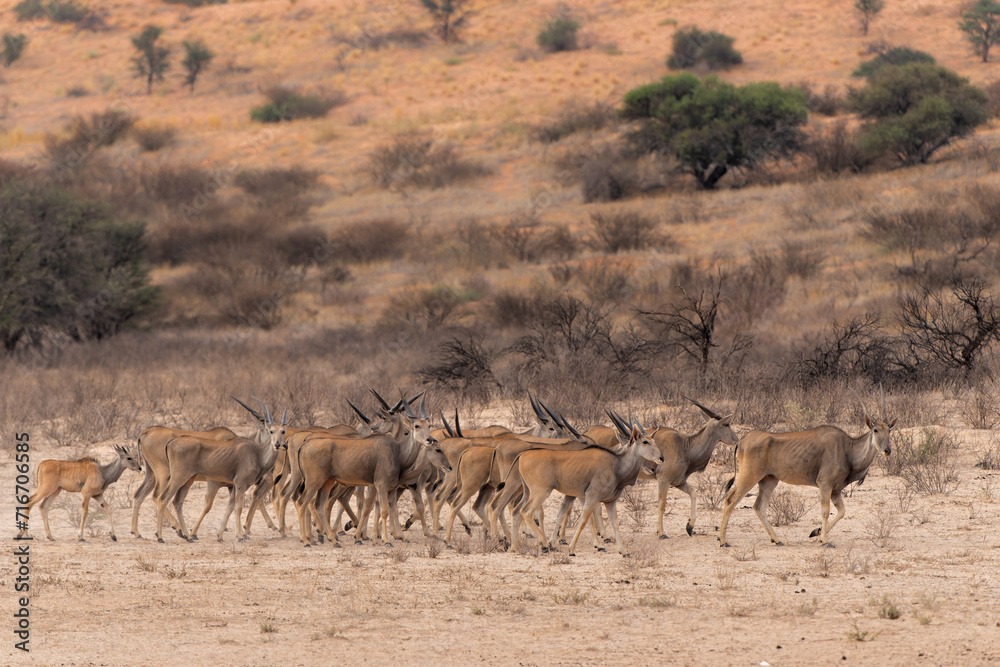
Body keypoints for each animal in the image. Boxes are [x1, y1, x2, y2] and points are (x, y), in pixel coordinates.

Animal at [154, 402, 287, 542]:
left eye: (283, 431)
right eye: (271, 431)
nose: (278, 445)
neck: (257, 454)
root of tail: (172, 442)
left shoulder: (234, 486)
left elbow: (230, 506)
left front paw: (220, 535)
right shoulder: (240, 484)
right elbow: (238, 507)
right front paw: (239, 536)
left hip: (187, 481)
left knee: (177, 502)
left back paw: (187, 536)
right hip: (178, 478)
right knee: (162, 498)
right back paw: (160, 536)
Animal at [507, 422, 664, 555]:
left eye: (654, 441)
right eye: (645, 442)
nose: (661, 458)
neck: (616, 464)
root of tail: (524, 454)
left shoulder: (610, 502)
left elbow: (615, 523)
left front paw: (623, 551)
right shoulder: (591, 497)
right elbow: (584, 520)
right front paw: (572, 549)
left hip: (527, 492)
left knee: (516, 512)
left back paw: (514, 547)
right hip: (541, 492)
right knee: (526, 512)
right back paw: (545, 544)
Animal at [642, 397, 737, 538]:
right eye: (726, 424)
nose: (737, 439)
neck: (685, 447)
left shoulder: (678, 482)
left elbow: (693, 493)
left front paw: (689, 526)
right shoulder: (663, 479)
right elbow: (662, 504)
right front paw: (661, 533)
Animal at [718, 386, 895, 548]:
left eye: (889, 430)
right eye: (875, 430)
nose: (887, 450)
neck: (848, 449)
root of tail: (742, 439)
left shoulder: (835, 490)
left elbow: (841, 512)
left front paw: (816, 533)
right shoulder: (825, 484)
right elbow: (825, 511)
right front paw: (824, 540)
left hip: (769, 480)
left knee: (758, 506)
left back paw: (776, 539)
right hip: (749, 477)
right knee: (730, 500)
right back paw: (723, 541)